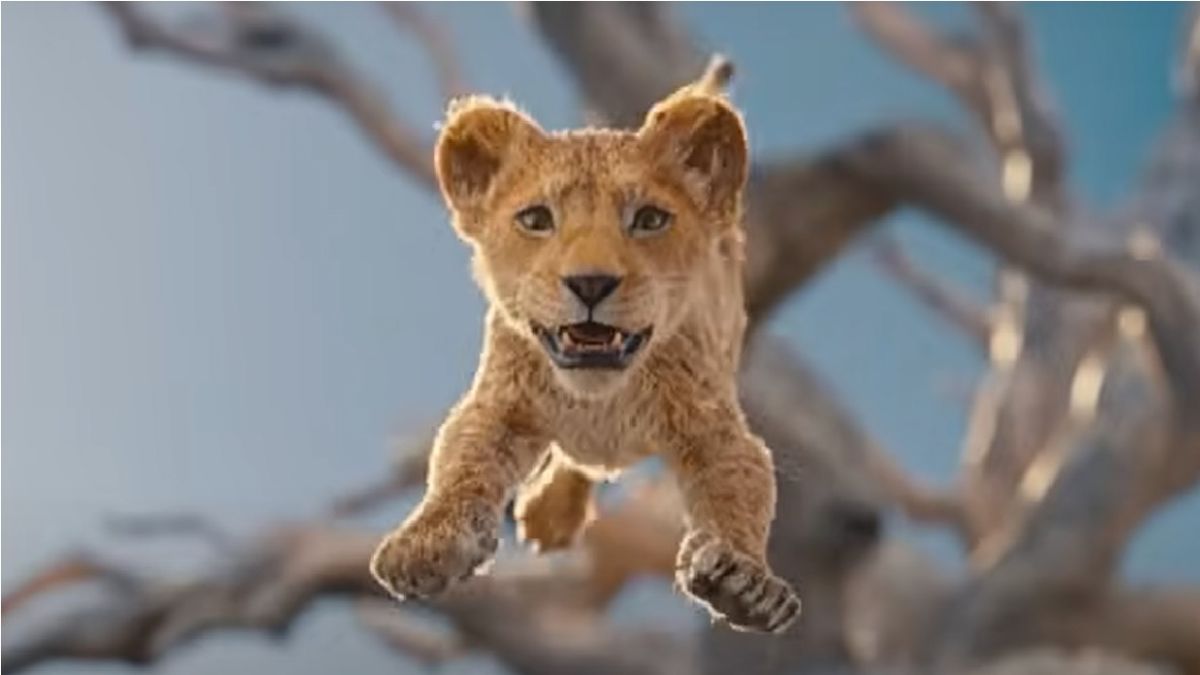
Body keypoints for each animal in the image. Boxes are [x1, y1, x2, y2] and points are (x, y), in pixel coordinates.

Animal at [369, 83, 801, 633]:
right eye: (536, 219)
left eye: (650, 219)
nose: (591, 283)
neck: (601, 398)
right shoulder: (499, 404)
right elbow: (459, 462)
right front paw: (426, 544)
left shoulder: (715, 428)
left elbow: (740, 491)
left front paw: (745, 583)